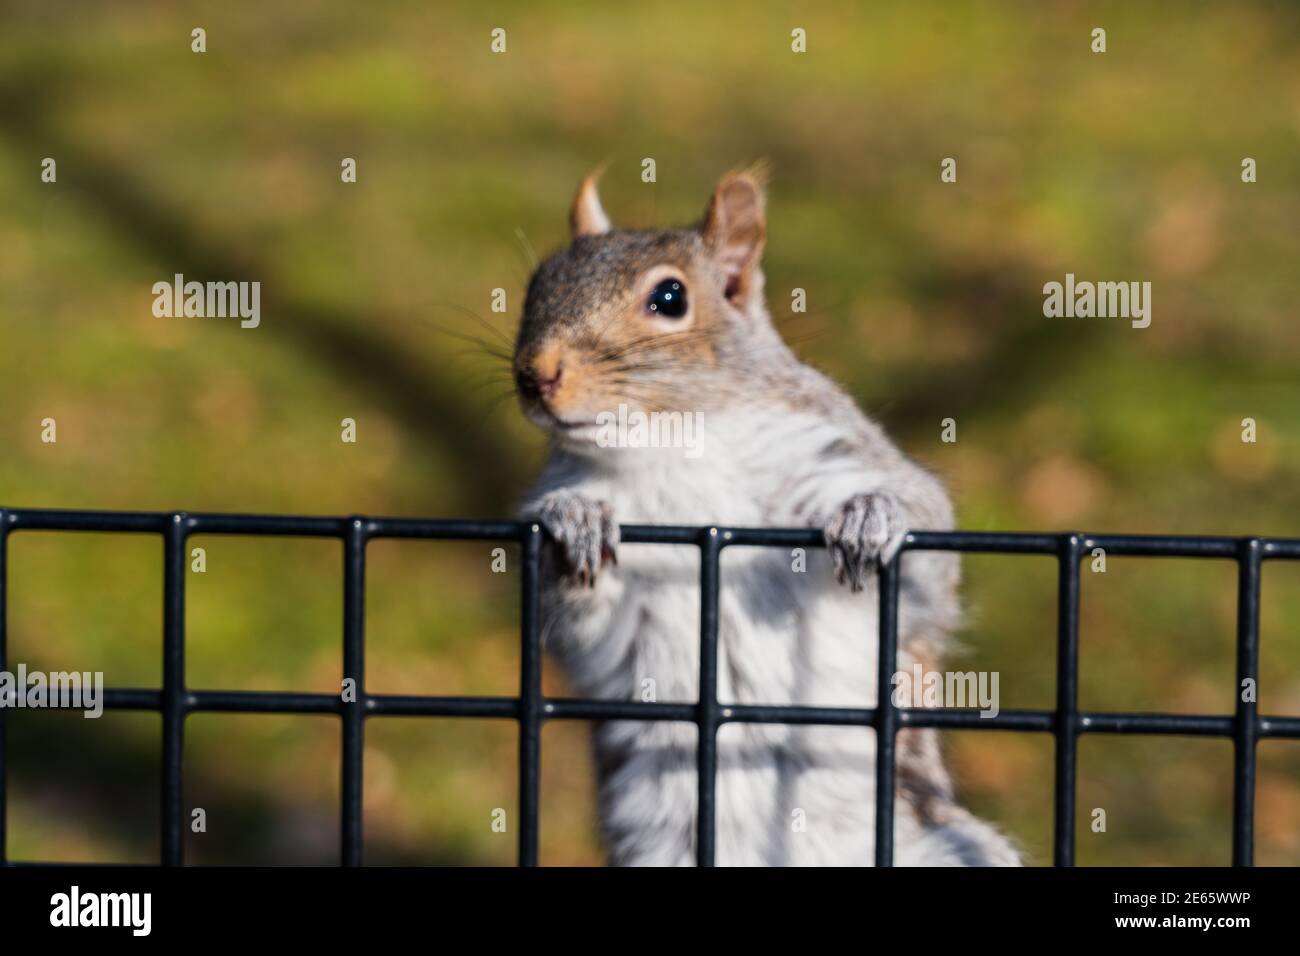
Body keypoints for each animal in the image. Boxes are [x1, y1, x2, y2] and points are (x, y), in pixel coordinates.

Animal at [513, 166, 1020, 866]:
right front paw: (576, 520)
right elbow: (582, 623)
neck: (675, 447)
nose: (535, 374)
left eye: (669, 297)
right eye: (537, 284)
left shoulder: (835, 456)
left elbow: (928, 570)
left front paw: (872, 516)